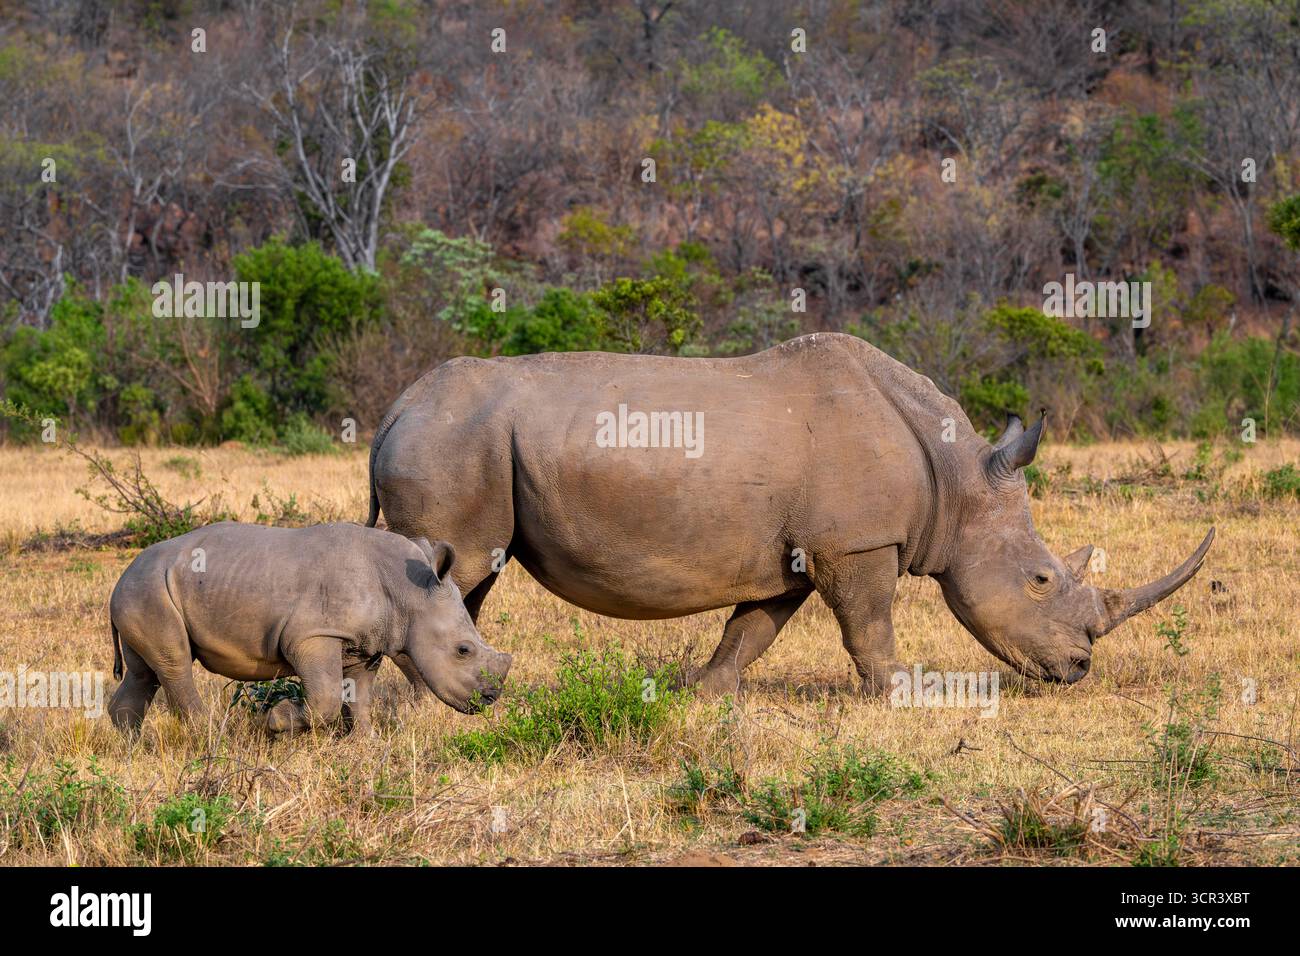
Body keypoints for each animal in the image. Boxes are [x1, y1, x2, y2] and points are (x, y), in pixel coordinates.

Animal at [108, 522, 511, 734]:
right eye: (463, 650)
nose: (489, 699)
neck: (407, 592)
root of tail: (121, 577)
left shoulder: (364, 644)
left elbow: (359, 695)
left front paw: (366, 742)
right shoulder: (314, 635)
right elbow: (326, 699)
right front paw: (274, 722)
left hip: (142, 590)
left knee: (145, 672)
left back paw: (133, 746)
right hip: (147, 589)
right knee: (175, 663)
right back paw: (214, 736)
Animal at [366, 333, 1213, 695]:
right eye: (1041, 579)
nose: (1079, 670)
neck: (958, 480)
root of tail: (394, 408)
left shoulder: (796, 556)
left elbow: (751, 631)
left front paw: (702, 693)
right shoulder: (860, 544)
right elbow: (869, 626)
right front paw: (904, 695)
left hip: (458, 440)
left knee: (464, 581)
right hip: (452, 442)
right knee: (457, 569)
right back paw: (410, 705)